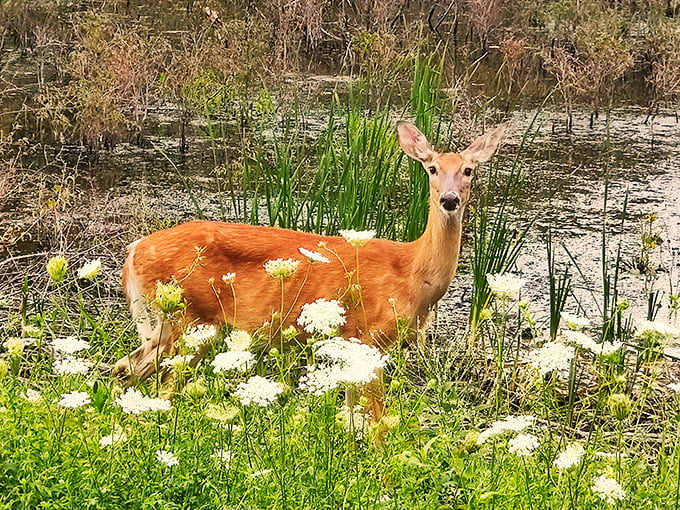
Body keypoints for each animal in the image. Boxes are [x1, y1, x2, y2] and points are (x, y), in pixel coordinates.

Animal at [114, 121, 505, 419]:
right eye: (432, 168)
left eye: (468, 170)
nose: (449, 199)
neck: (412, 275)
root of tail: (134, 251)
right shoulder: (369, 336)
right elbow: (376, 420)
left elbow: (354, 415)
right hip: (190, 317)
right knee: (160, 385)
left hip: (168, 324)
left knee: (125, 369)